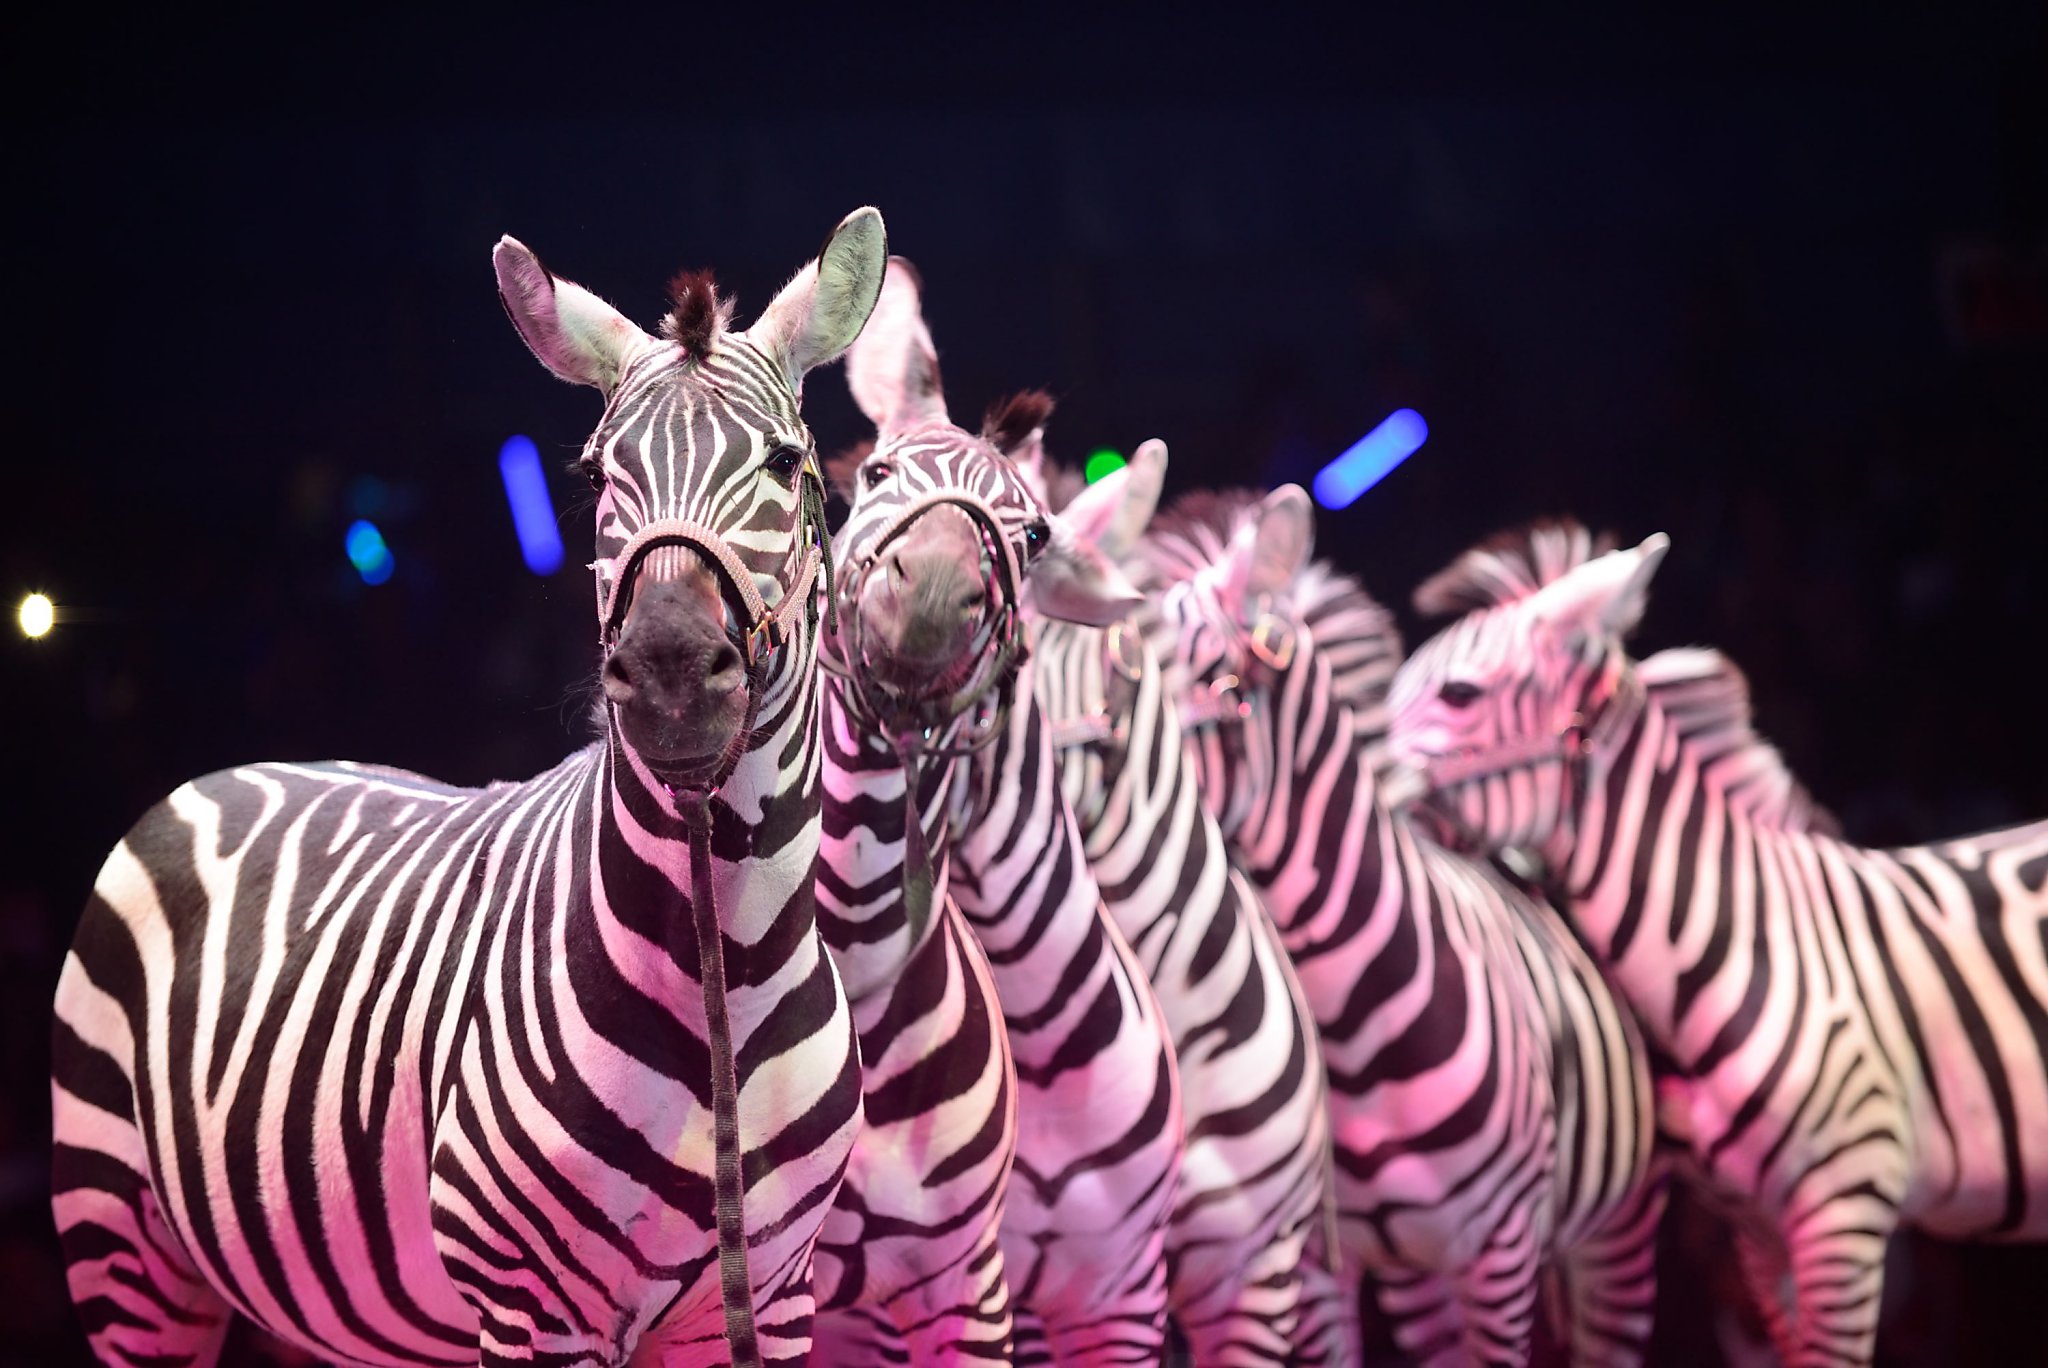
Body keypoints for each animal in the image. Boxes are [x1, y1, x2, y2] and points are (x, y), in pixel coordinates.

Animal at [50, 210, 888, 1367]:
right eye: (598, 473)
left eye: (784, 461)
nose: (671, 670)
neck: (731, 962)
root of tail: (239, 767)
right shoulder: (529, 1307)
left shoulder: (773, 1294)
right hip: (124, 1242)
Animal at [1129, 484, 1669, 1366]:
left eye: (1205, 676)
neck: (1355, 1034)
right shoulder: (1322, 1264)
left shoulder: (1502, 1253)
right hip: (1418, 1274)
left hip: (1617, 1227)